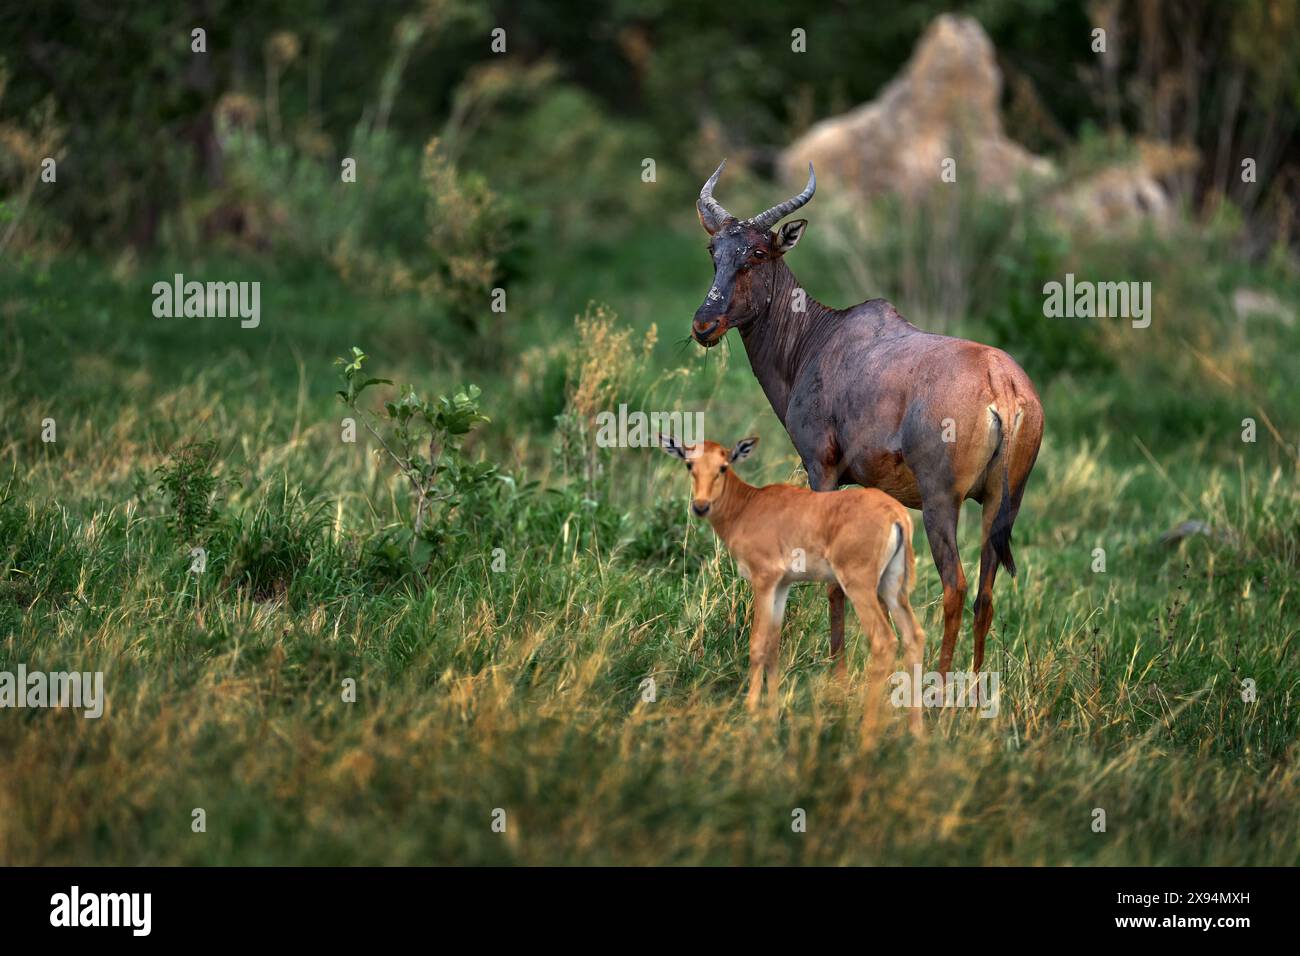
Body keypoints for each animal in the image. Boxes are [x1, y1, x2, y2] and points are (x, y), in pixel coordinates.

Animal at [659, 434, 924, 731]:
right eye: (689, 465)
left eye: (723, 467)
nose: (701, 506)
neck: (750, 504)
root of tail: (895, 514)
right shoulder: (783, 585)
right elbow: (773, 646)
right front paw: (771, 713)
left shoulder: (764, 580)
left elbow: (757, 643)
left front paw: (751, 710)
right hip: (892, 587)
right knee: (914, 636)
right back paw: (915, 731)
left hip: (859, 586)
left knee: (883, 641)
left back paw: (867, 729)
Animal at [691, 161, 1044, 685]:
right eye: (714, 250)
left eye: (757, 251)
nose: (704, 325)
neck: (820, 337)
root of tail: (1001, 383)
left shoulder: (822, 469)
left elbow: (832, 578)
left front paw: (837, 675)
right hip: (1002, 502)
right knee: (985, 593)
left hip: (941, 501)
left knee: (955, 587)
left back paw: (939, 688)